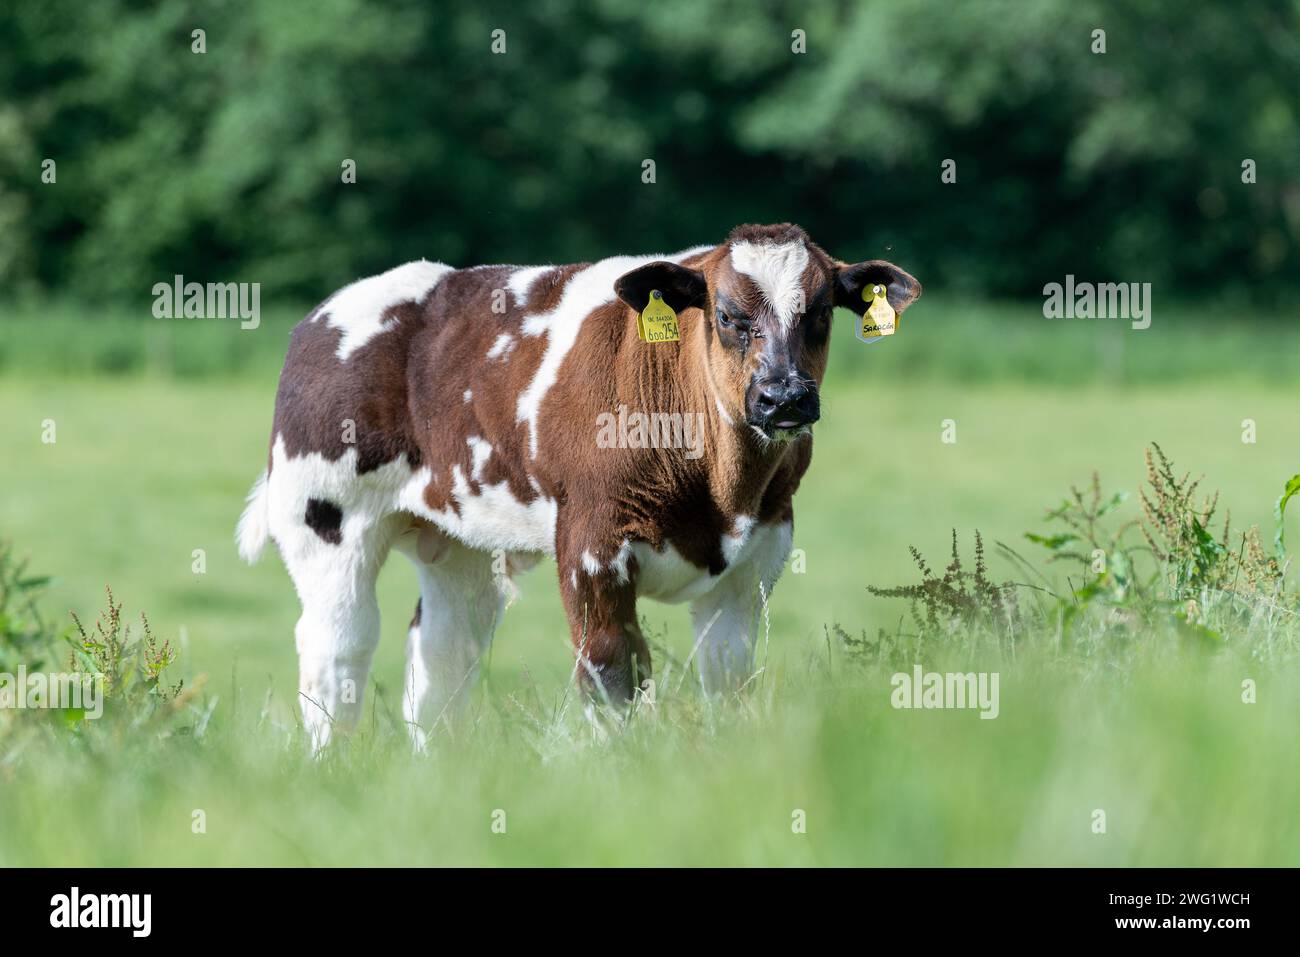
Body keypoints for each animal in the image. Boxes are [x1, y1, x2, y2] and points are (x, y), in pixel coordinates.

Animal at [236, 223, 921, 751]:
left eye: (821, 313)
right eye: (728, 315)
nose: (785, 397)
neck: (723, 491)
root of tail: (322, 315)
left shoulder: (760, 553)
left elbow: (727, 678)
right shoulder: (592, 543)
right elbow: (612, 670)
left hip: (458, 545)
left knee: (443, 658)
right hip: (325, 520)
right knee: (338, 648)